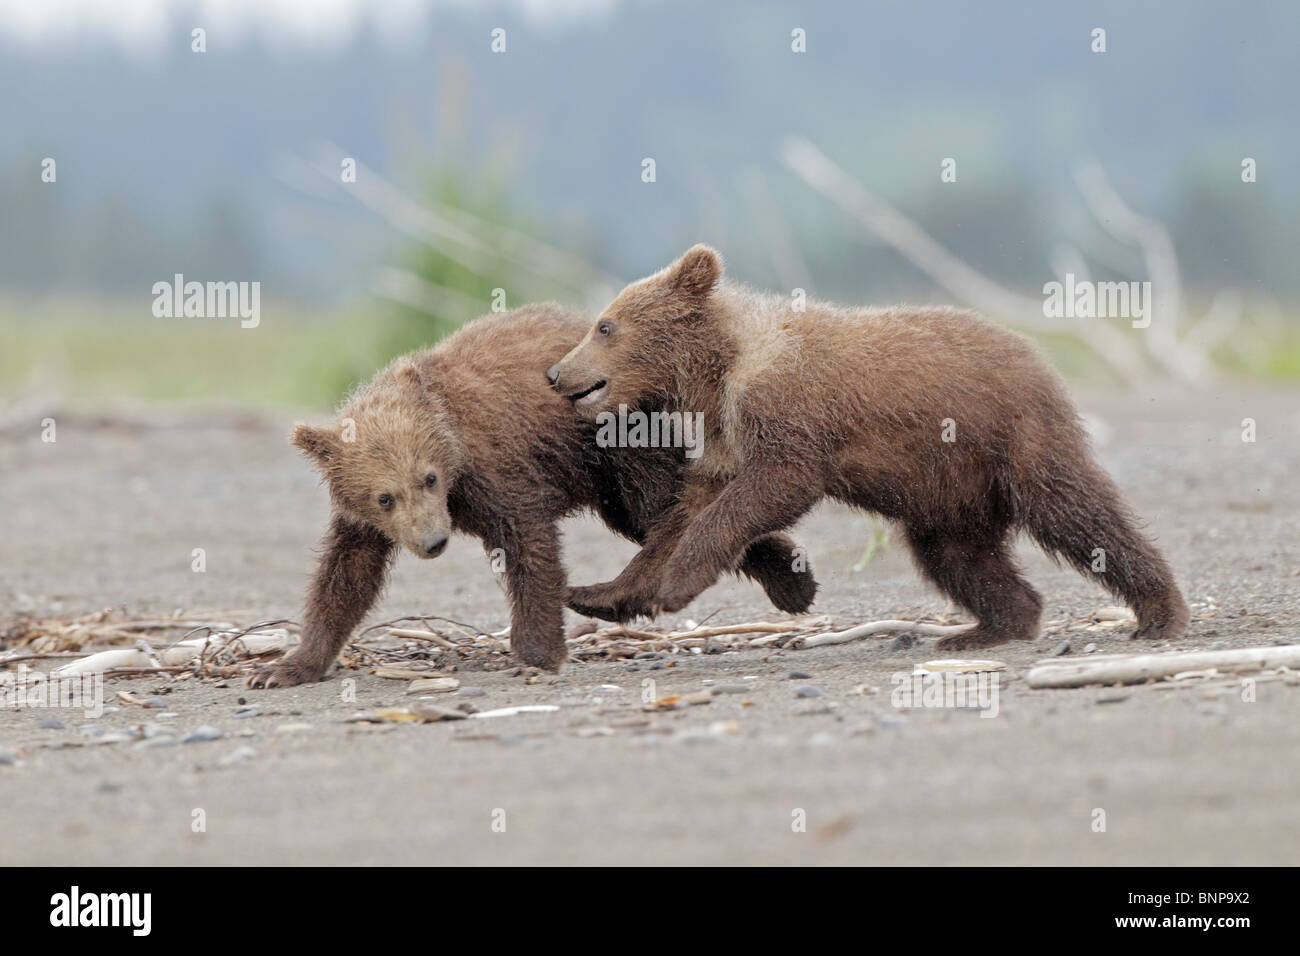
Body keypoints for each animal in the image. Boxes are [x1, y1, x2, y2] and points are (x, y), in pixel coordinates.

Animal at [247, 303, 817, 688]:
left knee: (661, 508)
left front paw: (536, 650)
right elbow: (346, 575)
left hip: (620, 442)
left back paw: (791, 581)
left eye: (427, 478)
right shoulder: (360, 518)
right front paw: (286, 667)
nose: (433, 542)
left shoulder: (495, 466)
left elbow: (528, 543)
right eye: (385, 497)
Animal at [547, 245, 1190, 651]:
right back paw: (989, 627)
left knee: (1079, 513)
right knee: (959, 559)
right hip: (948, 494)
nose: (556, 373)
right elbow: (682, 515)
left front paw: (679, 581)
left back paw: (1159, 610)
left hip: (1014, 438)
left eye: (605, 325)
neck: (721, 370)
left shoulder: (789, 411)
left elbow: (770, 488)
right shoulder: (723, 438)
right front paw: (601, 593)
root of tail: (1037, 355)